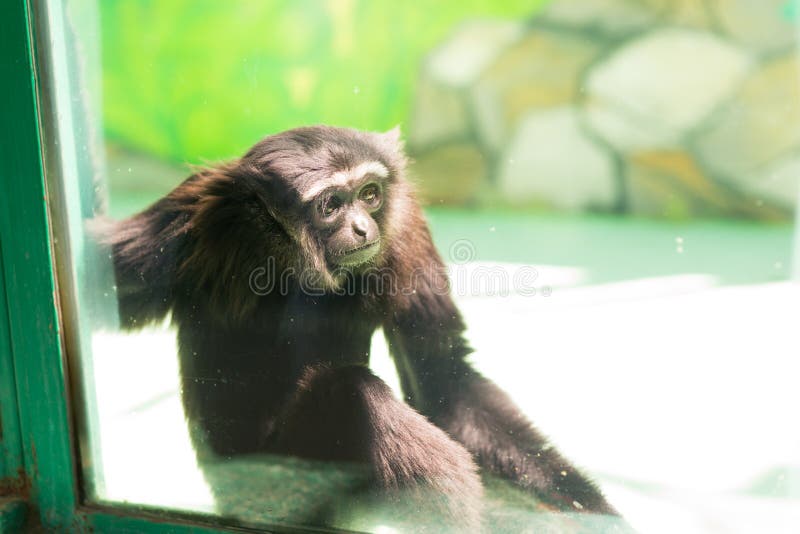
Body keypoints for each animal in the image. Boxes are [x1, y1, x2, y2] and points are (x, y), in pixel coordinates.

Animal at [102, 125, 618, 530]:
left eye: (370, 194)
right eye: (331, 204)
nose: (363, 228)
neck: (282, 252)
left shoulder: (403, 225)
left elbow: (444, 379)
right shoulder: (196, 211)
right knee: (352, 393)